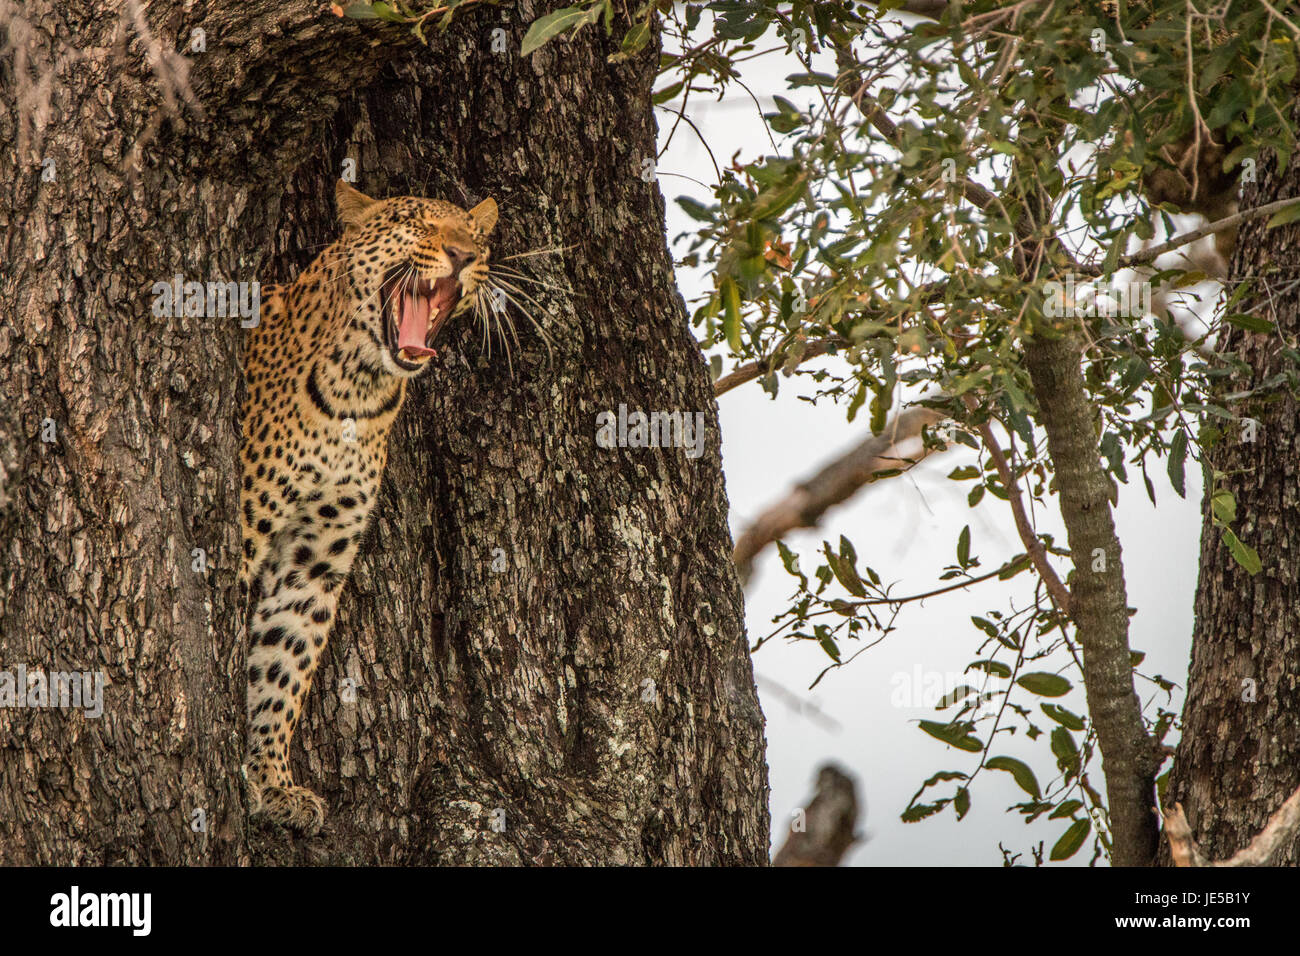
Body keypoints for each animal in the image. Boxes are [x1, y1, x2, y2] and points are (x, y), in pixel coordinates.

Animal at [238, 179, 497, 834]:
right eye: (414, 220)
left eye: (475, 235)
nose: (463, 254)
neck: (359, 390)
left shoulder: (314, 560)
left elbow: (283, 664)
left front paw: (271, 782)